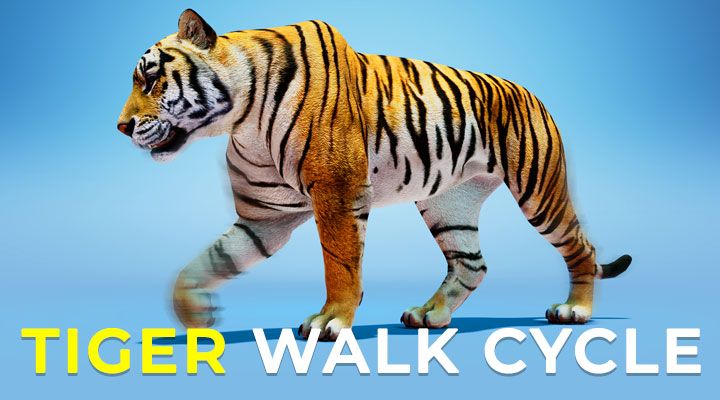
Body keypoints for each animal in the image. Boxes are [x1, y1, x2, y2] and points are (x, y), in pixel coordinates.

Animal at [116, 9, 631, 341]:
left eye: (151, 79)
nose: (121, 127)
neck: (241, 120)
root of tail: (529, 91)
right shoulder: (265, 217)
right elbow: (207, 262)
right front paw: (196, 317)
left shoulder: (336, 192)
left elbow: (340, 264)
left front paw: (331, 321)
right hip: (449, 203)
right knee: (471, 263)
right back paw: (430, 314)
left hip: (539, 190)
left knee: (580, 247)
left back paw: (575, 310)